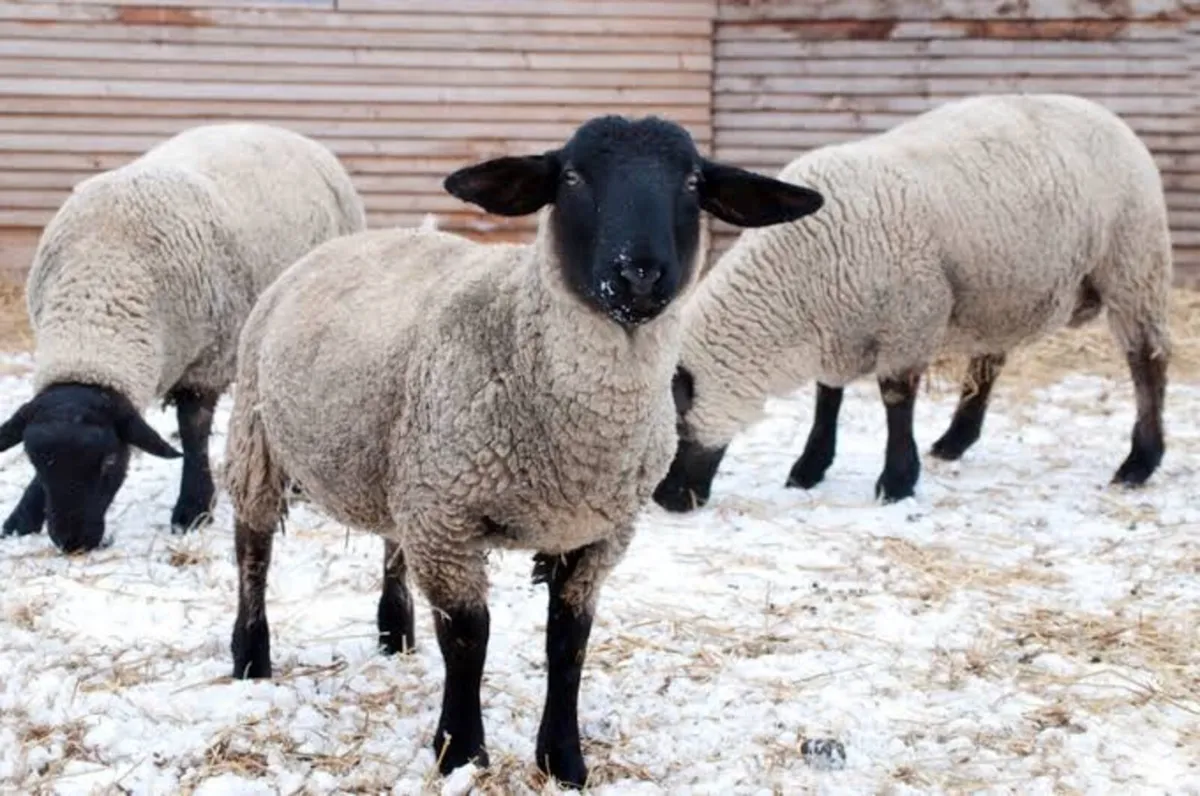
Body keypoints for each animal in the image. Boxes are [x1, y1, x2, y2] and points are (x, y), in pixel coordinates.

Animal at [0, 122, 366, 553]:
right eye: (36, 460)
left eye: (110, 461)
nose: (73, 542)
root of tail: (278, 129)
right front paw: (22, 517)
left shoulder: (208, 357)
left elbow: (193, 430)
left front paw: (193, 508)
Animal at [223, 115, 824, 787]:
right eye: (573, 176)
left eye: (693, 182)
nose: (639, 274)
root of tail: (347, 241)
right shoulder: (448, 518)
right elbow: (469, 638)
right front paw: (460, 753)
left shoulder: (594, 534)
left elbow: (568, 641)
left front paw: (564, 761)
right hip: (259, 437)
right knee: (253, 548)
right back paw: (250, 658)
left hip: (399, 461)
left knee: (390, 542)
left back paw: (395, 635)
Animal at [652, 93, 1172, 511]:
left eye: (671, 428)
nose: (665, 500)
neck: (798, 276)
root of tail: (1104, 112)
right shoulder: (839, 329)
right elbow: (828, 397)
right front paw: (809, 468)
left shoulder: (911, 319)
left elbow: (895, 398)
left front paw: (897, 482)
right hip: (1003, 285)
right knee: (989, 361)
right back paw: (954, 441)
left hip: (1134, 263)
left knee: (1148, 360)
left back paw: (1139, 463)